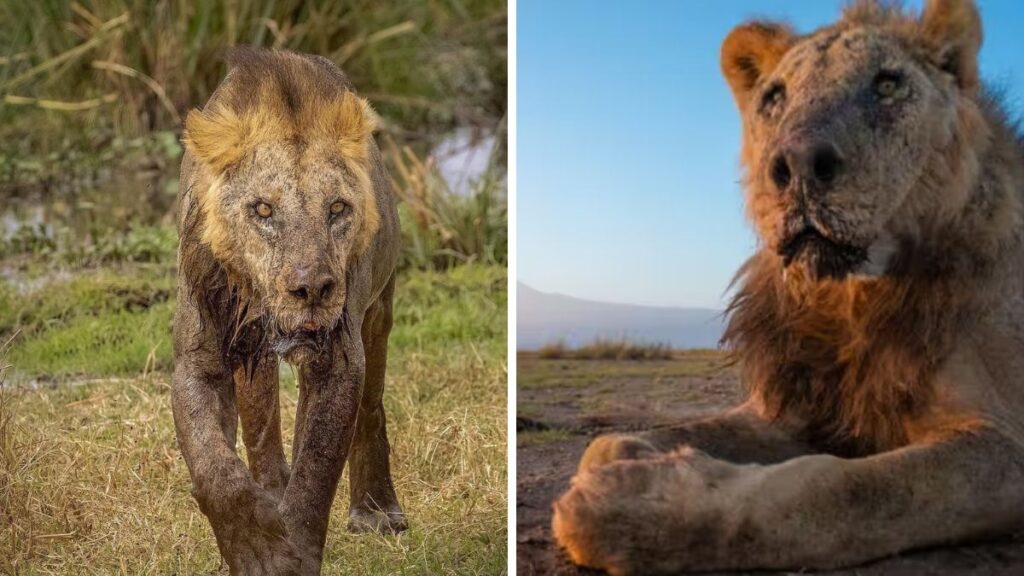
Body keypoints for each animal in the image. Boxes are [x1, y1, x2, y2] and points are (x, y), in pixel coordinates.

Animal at [171, 48, 404, 576]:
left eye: (336, 209)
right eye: (262, 210)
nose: (312, 289)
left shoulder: (337, 358)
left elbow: (316, 469)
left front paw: (290, 552)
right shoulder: (199, 358)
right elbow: (214, 468)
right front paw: (255, 547)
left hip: (379, 309)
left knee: (371, 408)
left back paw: (377, 511)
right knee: (260, 424)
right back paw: (272, 490)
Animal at [551, 0, 1024, 573]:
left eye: (887, 84)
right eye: (774, 98)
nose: (797, 164)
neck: (847, 299)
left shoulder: (1006, 446)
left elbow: (838, 489)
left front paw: (635, 506)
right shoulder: (796, 406)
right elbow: (626, 439)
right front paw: (633, 453)